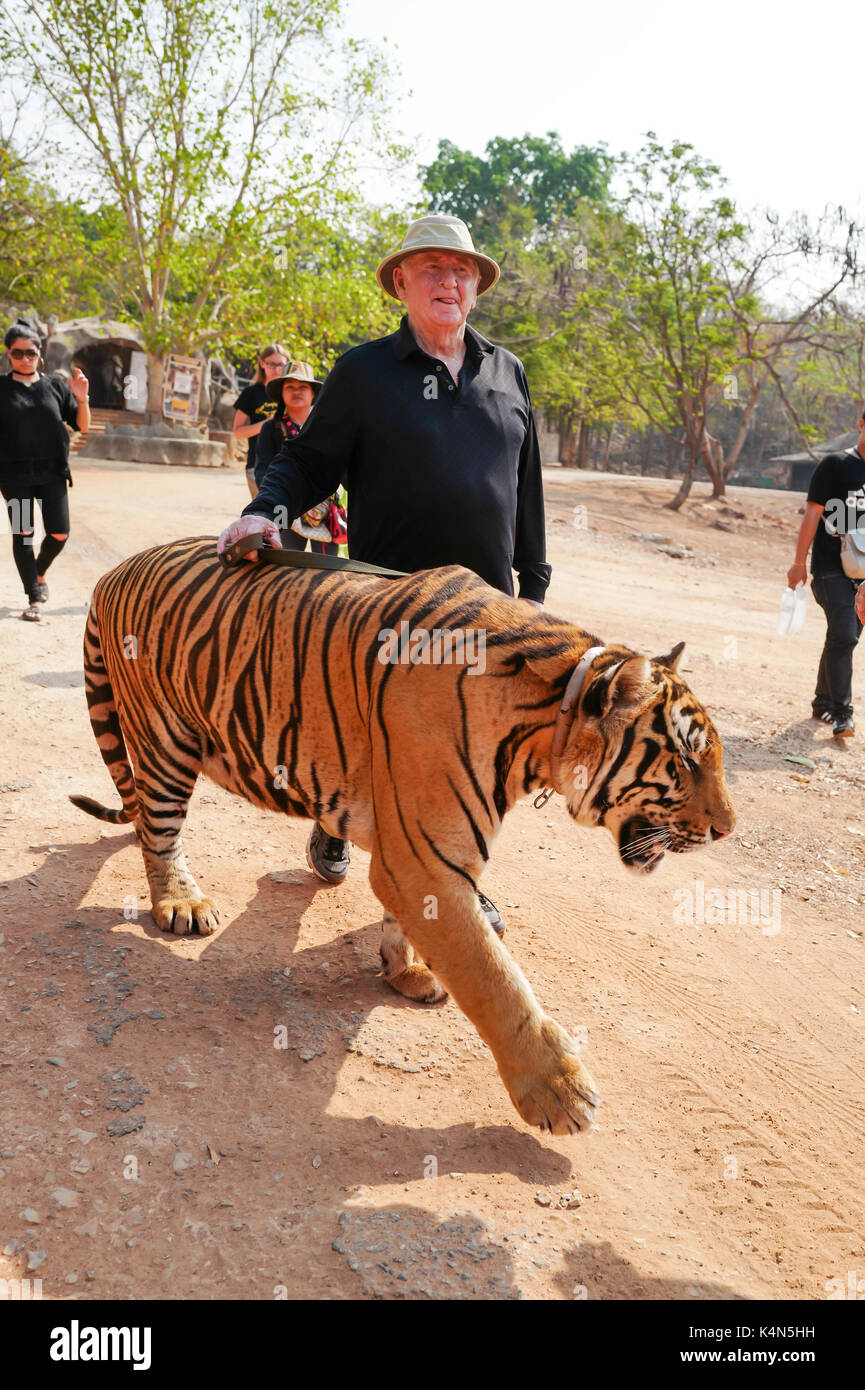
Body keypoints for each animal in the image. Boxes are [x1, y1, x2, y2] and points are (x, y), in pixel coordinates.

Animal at [71, 537, 735, 1136]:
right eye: (686, 760)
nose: (727, 829)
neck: (544, 724)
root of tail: (113, 570)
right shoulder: (425, 857)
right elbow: (496, 981)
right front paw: (560, 1093)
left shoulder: (415, 849)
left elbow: (412, 927)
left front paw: (404, 972)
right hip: (163, 741)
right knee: (158, 831)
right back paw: (181, 903)